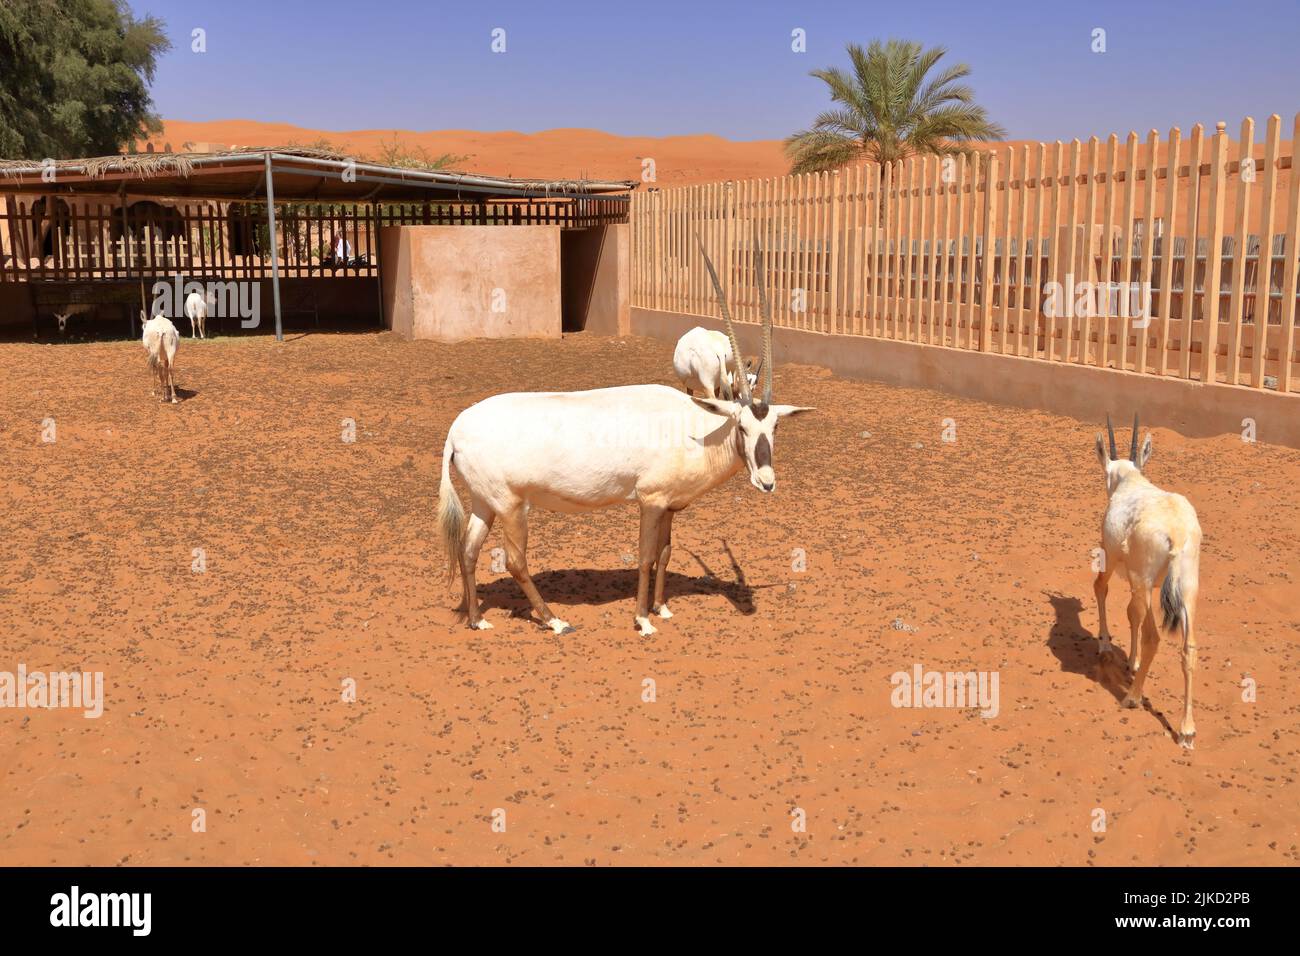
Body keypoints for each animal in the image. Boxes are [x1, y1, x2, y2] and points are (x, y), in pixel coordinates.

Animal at [437, 237, 813, 636]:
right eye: (742, 426)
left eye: (774, 427)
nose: (766, 481)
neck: (695, 429)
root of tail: (455, 431)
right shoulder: (650, 500)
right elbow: (646, 557)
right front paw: (643, 620)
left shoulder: (670, 505)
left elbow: (665, 553)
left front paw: (662, 607)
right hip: (510, 506)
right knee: (514, 560)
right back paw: (555, 621)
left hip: (485, 502)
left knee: (468, 549)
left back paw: (477, 620)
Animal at [1093, 414, 1202, 749]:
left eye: (1106, 474)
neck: (1130, 480)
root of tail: (1176, 532)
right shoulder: (1141, 584)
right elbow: (1133, 615)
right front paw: (1132, 662)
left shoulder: (1113, 559)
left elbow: (1102, 589)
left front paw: (1107, 647)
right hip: (1187, 589)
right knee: (1189, 647)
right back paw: (1186, 731)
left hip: (1144, 580)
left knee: (1153, 637)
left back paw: (1132, 697)